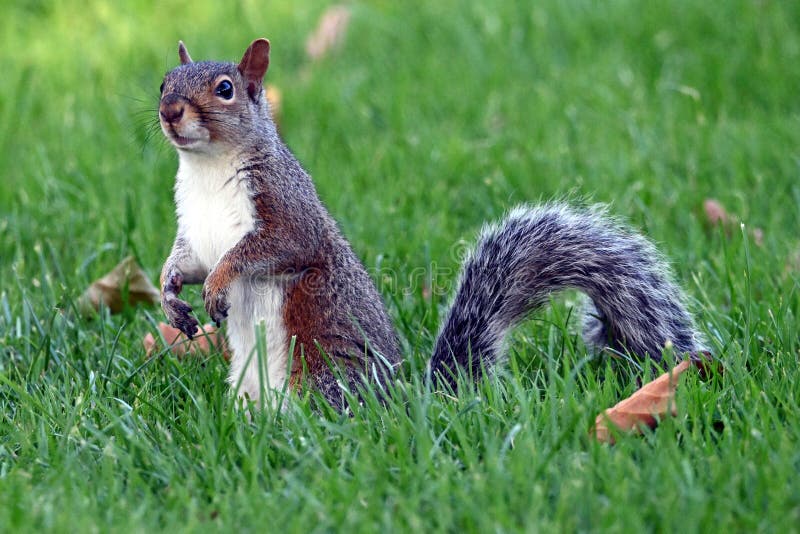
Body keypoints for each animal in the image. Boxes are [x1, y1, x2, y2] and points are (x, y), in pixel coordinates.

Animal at [158, 39, 707, 409]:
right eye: (163, 82)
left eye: (225, 90)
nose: (169, 111)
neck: (208, 169)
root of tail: (402, 405)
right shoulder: (194, 229)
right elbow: (187, 260)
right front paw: (171, 293)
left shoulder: (285, 206)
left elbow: (273, 247)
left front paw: (220, 281)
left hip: (319, 367)